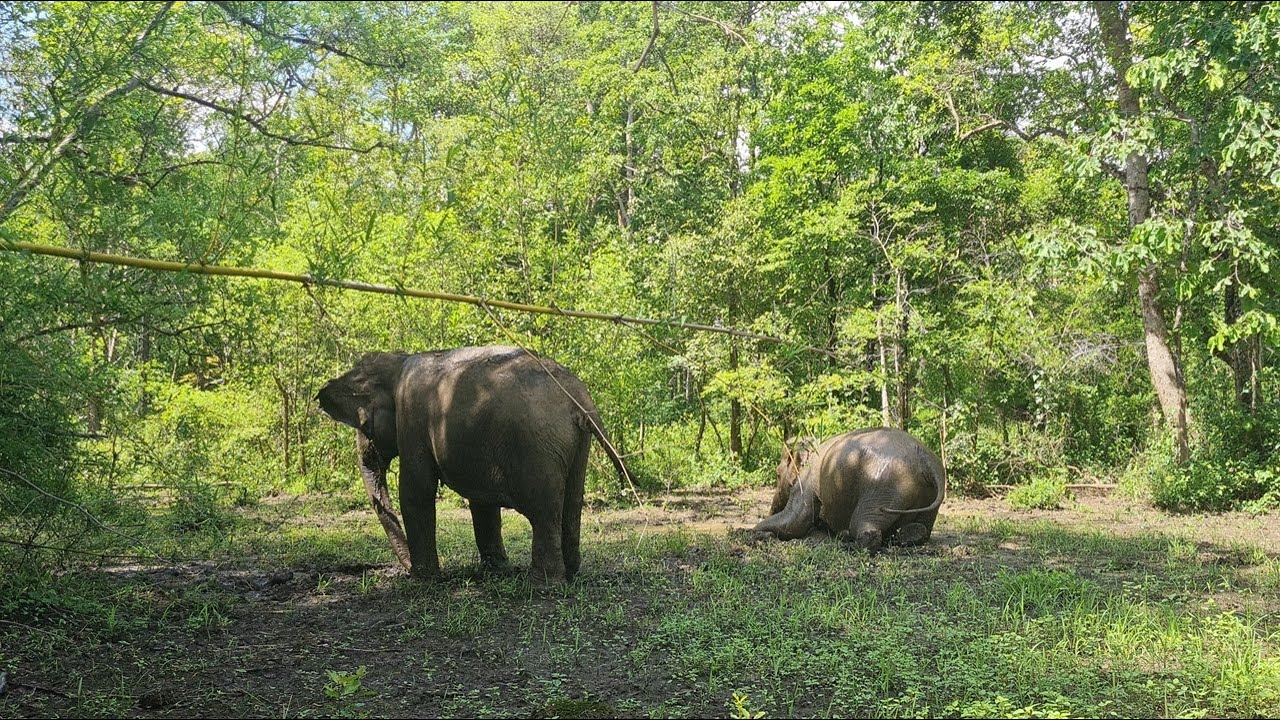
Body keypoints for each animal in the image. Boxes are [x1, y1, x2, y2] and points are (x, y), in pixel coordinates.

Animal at [315, 345, 632, 585]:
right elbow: (481, 502)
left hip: (539, 447)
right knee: (571, 504)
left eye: (364, 425)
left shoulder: (412, 420)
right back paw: (571, 573)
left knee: (544, 512)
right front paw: (496, 570)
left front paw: (424, 579)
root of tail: (579, 396)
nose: (406, 569)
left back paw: (544, 585)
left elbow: (416, 490)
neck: (398, 361)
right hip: (576, 444)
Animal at [753, 428, 946, 552]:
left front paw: (756, 532)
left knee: (865, 527)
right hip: (926, 504)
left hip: (884, 489)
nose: (770, 510)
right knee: (921, 529)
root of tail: (927, 461)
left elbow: (796, 521)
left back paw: (847, 543)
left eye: (777, 474)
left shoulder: (805, 485)